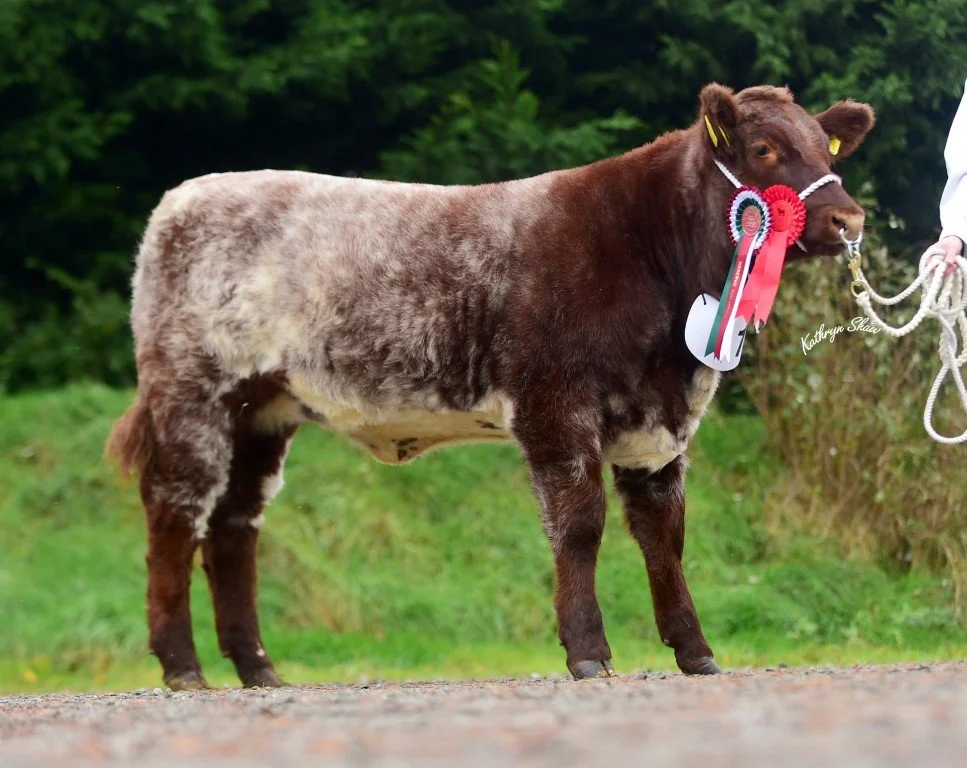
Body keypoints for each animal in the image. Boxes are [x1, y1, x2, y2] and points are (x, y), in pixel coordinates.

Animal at [107, 83, 874, 690]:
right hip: (194, 393)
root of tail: (183, 198)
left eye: (828, 150)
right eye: (765, 148)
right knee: (176, 514)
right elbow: (580, 525)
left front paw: (696, 652)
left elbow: (665, 537)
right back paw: (183, 666)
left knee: (234, 527)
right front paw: (588, 653)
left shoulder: (662, 422)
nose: (849, 219)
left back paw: (257, 668)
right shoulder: (555, 403)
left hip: (263, 411)